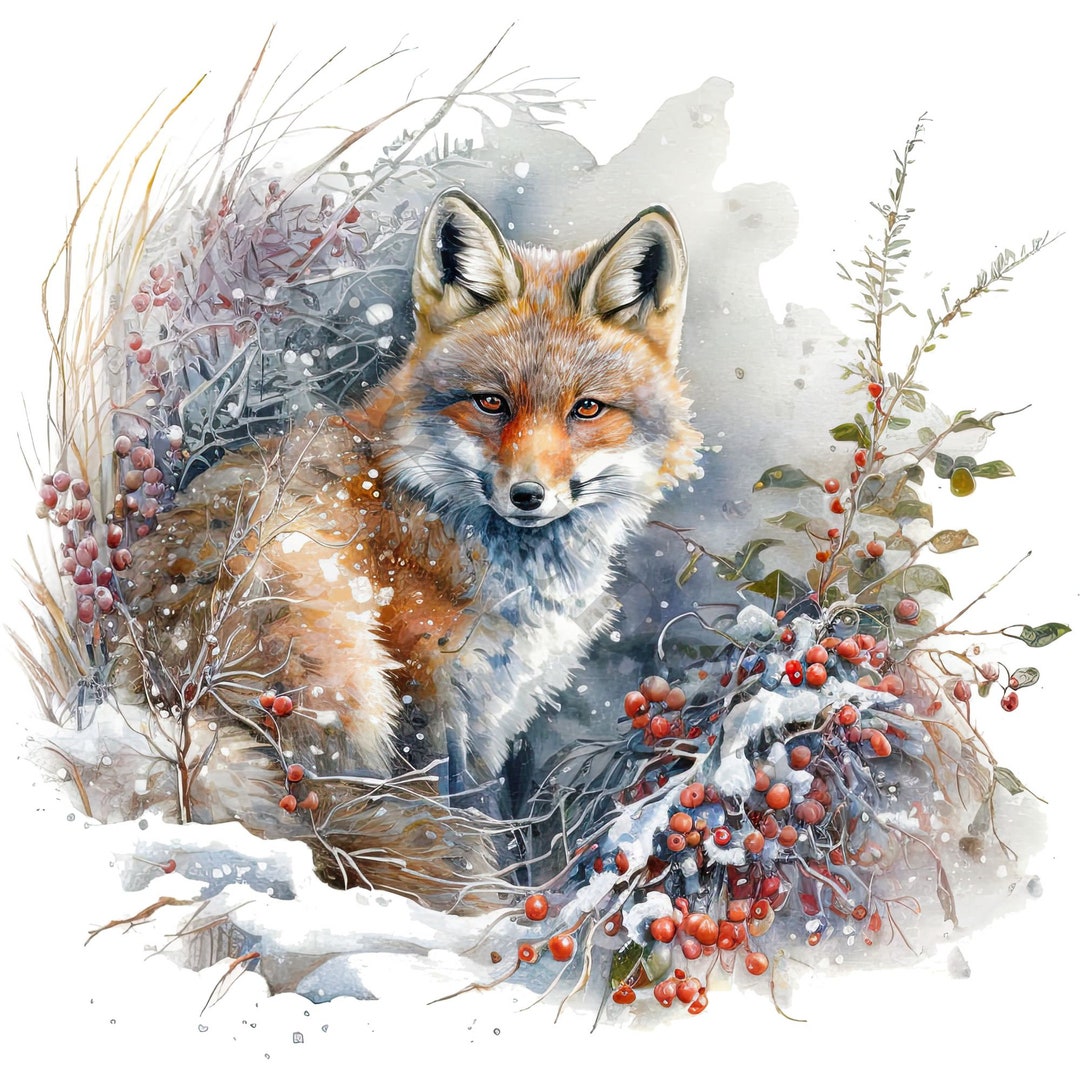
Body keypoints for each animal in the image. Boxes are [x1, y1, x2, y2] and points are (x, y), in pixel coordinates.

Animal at [120, 188, 700, 897]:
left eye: (586, 409)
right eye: (490, 403)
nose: (528, 495)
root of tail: (156, 694)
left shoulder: (493, 720)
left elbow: (497, 823)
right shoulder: (432, 700)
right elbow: (462, 823)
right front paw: (496, 898)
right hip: (344, 682)